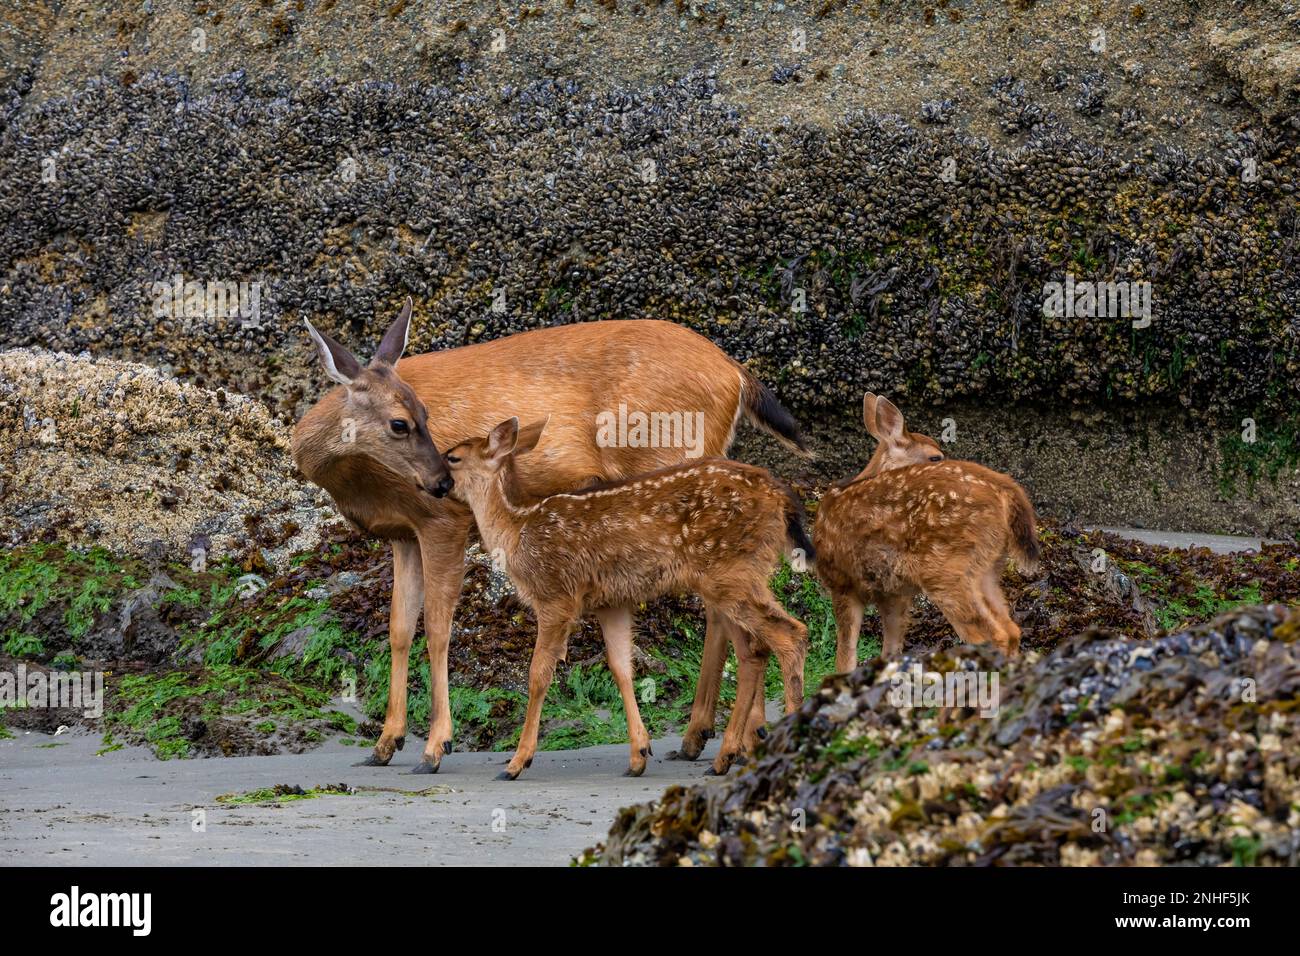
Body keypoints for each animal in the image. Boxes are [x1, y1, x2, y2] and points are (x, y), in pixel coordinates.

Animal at [440, 416, 811, 777]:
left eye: (453, 457)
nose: (436, 484)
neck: (516, 532)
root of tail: (780, 496)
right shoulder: (610, 603)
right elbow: (621, 667)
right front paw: (638, 756)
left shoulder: (555, 595)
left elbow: (538, 674)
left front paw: (517, 762)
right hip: (738, 575)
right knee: (755, 648)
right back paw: (728, 755)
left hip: (729, 573)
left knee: (788, 634)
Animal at [813, 393, 1040, 667]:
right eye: (935, 457)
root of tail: (1006, 489)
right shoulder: (893, 594)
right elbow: (890, 649)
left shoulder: (842, 582)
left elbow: (845, 655)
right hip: (987, 568)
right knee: (1011, 629)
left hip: (945, 570)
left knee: (992, 634)